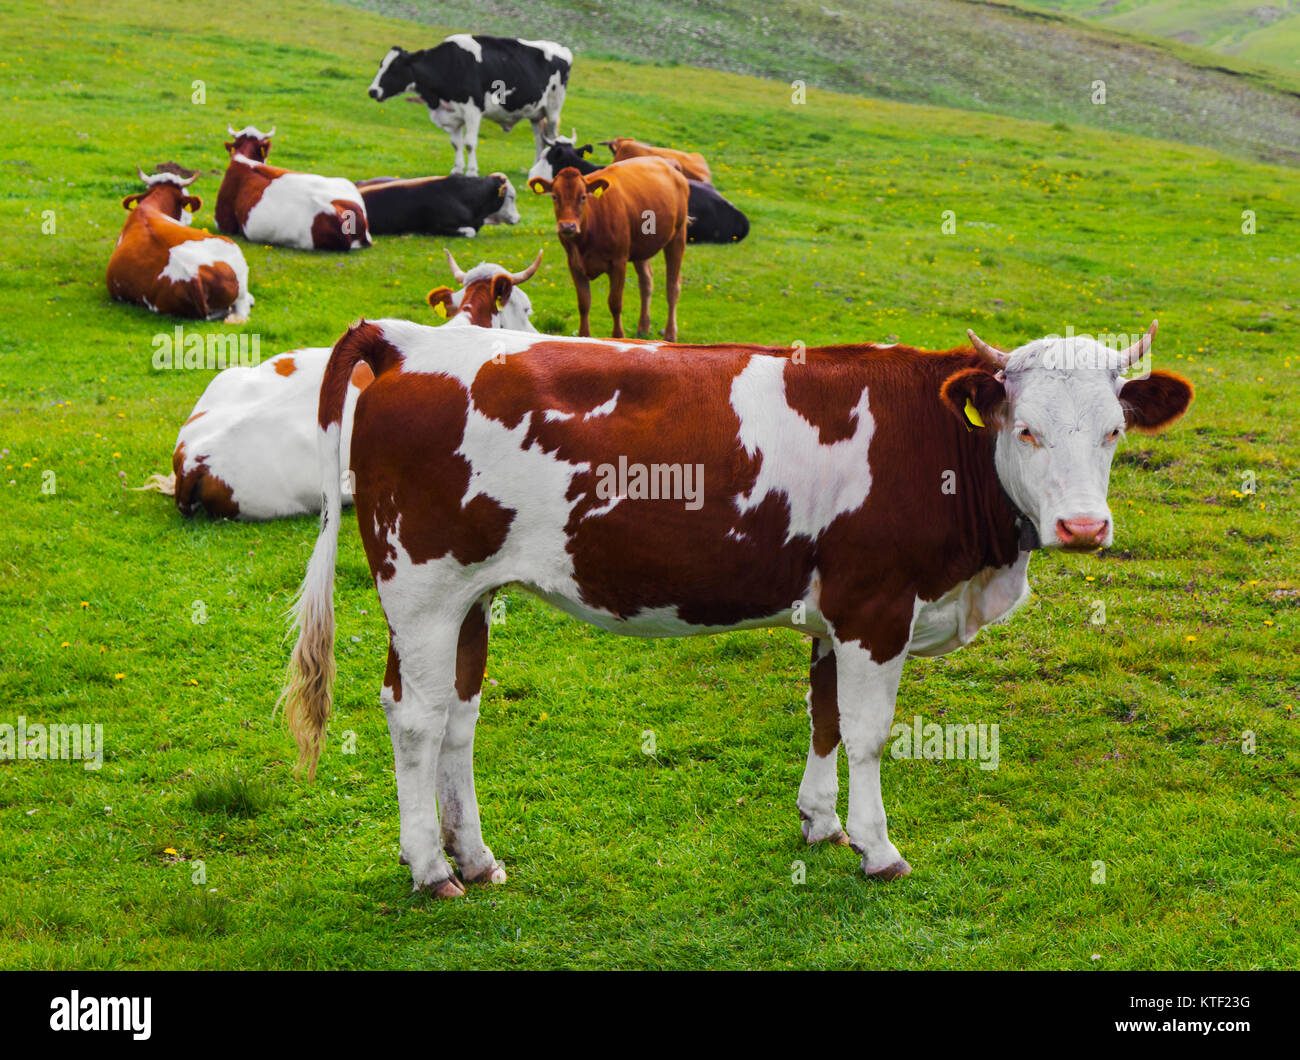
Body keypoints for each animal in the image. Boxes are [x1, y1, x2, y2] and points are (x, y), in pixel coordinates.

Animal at [279, 319, 1192, 895]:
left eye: (1113, 431)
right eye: (1026, 429)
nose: (1084, 528)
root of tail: (409, 340)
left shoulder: (837, 609)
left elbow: (823, 716)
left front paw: (823, 824)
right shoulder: (876, 604)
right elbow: (866, 732)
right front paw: (880, 848)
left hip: (469, 596)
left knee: (458, 719)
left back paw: (472, 857)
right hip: (423, 586)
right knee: (416, 719)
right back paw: (431, 870)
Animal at [367, 36, 573, 176]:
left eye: (394, 68)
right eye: (381, 64)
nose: (372, 91)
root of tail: (562, 48)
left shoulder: (473, 110)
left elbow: (469, 143)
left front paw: (472, 171)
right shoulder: (452, 113)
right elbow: (456, 143)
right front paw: (457, 170)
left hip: (553, 108)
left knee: (553, 137)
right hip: (536, 113)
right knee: (539, 139)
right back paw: (535, 167)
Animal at [529, 157, 690, 340]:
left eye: (583, 197)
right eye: (555, 196)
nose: (567, 226)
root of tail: (667, 161)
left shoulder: (619, 262)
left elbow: (615, 303)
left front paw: (618, 337)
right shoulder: (574, 263)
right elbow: (584, 303)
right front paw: (584, 336)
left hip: (678, 235)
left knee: (672, 286)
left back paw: (670, 333)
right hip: (641, 247)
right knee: (646, 282)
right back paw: (643, 327)